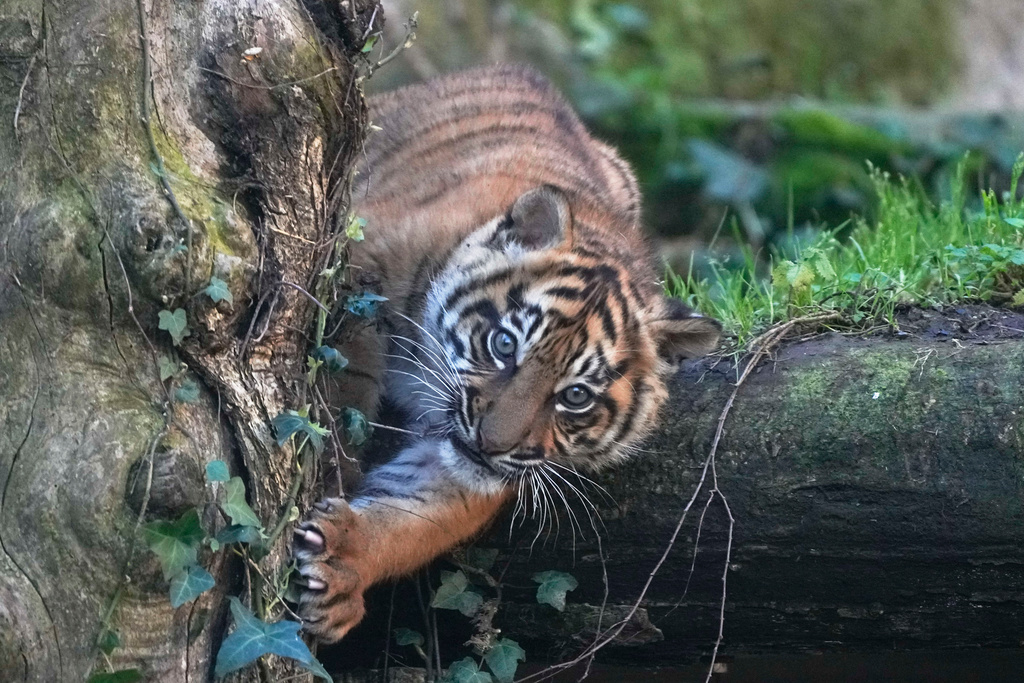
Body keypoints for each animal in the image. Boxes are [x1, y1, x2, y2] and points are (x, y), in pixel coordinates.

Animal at [291, 63, 721, 642]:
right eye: (503, 344)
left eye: (576, 397)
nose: (492, 445)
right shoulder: (359, 267)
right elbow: (343, 387)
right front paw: (331, 462)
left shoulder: (479, 466)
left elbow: (420, 519)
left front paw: (343, 565)